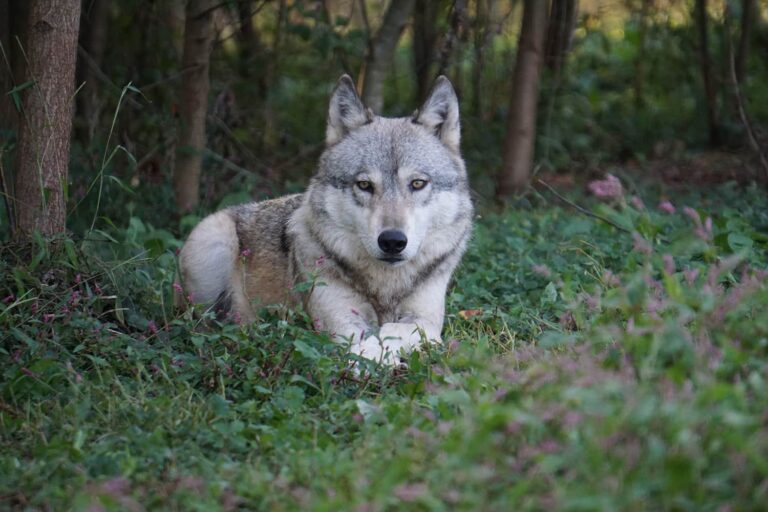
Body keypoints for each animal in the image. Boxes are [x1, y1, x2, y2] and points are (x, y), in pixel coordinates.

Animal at [178, 75, 473, 364]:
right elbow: (365, 342)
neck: (385, 288)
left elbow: (395, 330)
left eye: (417, 183)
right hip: (213, 239)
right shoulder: (340, 322)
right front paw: (373, 359)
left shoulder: (426, 323)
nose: (392, 241)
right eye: (364, 185)